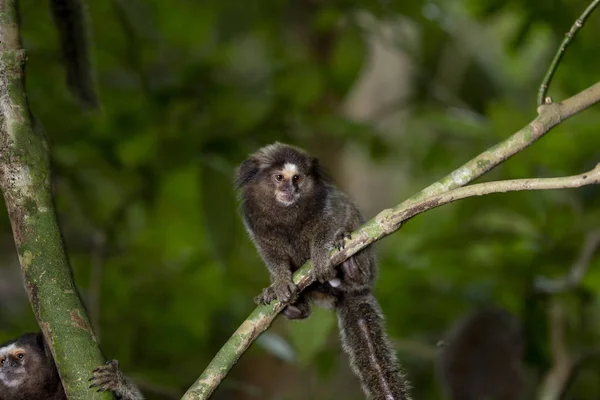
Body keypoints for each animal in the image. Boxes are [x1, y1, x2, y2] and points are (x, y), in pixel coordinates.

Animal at [237, 144, 410, 400]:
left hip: (367, 265)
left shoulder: (327, 205)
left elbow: (334, 220)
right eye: (279, 177)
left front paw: (319, 258)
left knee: (355, 232)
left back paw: (352, 269)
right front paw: (280, 282)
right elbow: (271, 255)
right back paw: (294, 307)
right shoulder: (257, 225)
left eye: (297, 178)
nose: (290, 188)